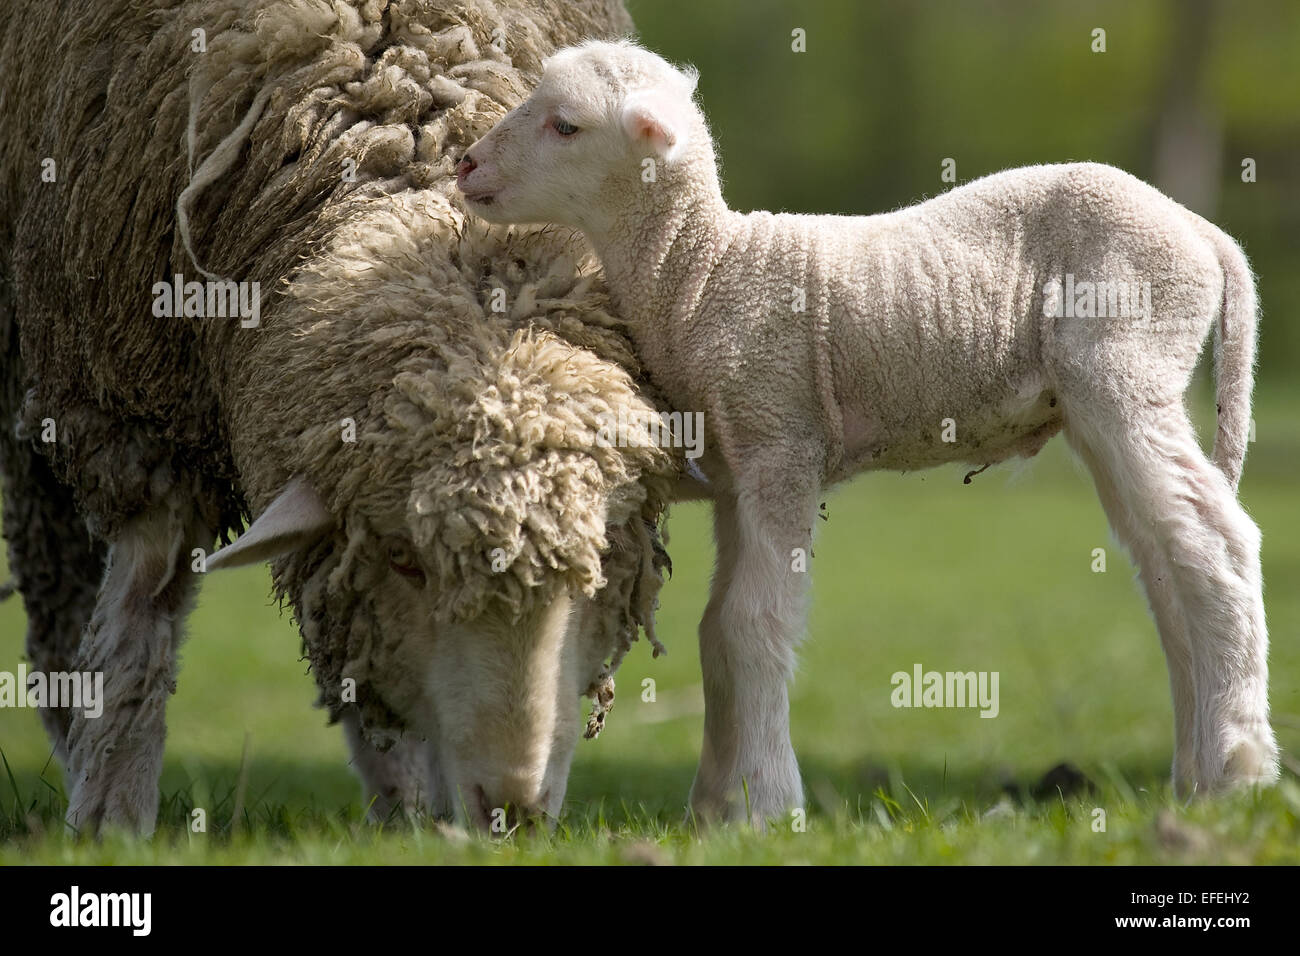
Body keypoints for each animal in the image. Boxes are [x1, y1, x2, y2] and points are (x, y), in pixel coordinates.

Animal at [0, 2, 678, 834]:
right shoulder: (129, 418)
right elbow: (140, 624)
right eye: (405, 561)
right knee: (60, 604)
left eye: (600, 566)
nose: (511, 812)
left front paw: (410, 810)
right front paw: (113, 820)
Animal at [458, 39, 1279, 823]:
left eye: (566, 125)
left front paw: (767, 805)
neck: (703, 273)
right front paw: (715, 807)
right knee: (1166, 558)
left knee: (1216, 539)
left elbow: (752, 625)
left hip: (1127, 366)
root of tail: (1202, 232)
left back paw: (1238, 769)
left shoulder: (781, 436)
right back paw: (1196, 773)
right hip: (1104, 402)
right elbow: (716, 632)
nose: (465, 163)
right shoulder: (736, 463)